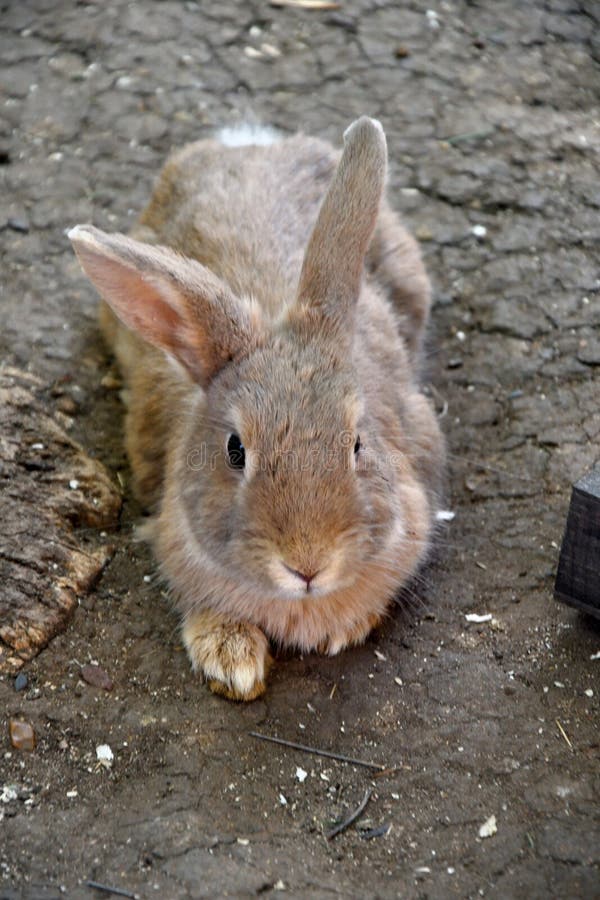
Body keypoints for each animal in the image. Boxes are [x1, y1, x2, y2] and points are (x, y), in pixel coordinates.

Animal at [69, 116, 445, 701]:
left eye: (358, 443)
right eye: (235, 451)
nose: (308, 565)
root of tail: (248, 143)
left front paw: (341, 630)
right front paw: (231, 659)